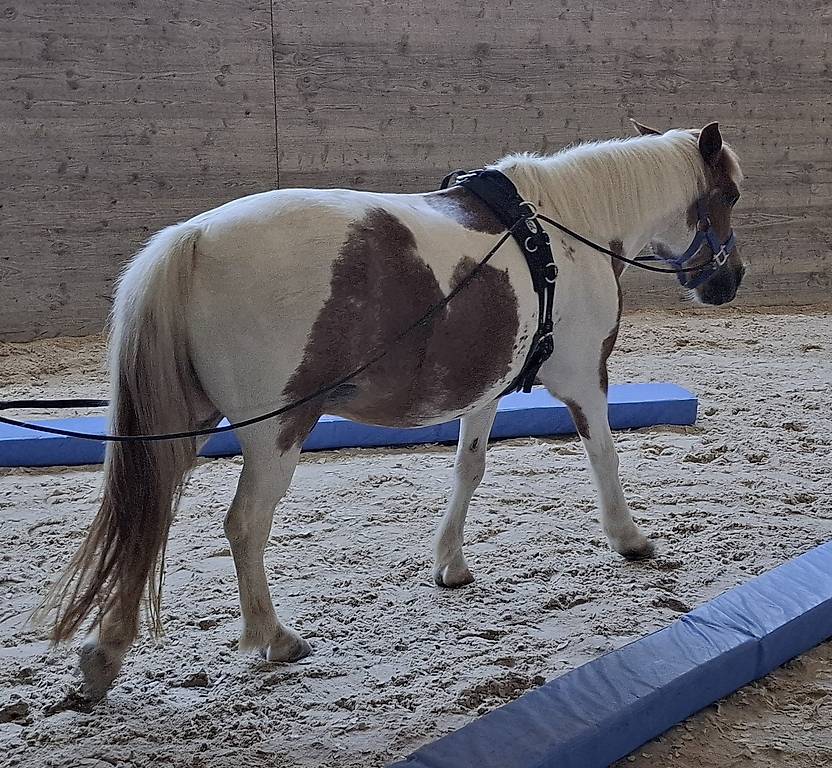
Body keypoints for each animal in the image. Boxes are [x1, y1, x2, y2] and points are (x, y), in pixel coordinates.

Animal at [41, 120, 744, 699]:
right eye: (730, 196)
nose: (729, 280)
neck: (568, 231)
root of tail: (192, 239)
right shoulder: (585, 382)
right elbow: (604, 456)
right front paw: (629, 538)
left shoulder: (486, 391)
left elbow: (469, 469)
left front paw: (449, 563)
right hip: (277, 431)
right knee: (243, 525)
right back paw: (273, 637)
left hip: (183, 428)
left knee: (148, 516)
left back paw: (106, 652)